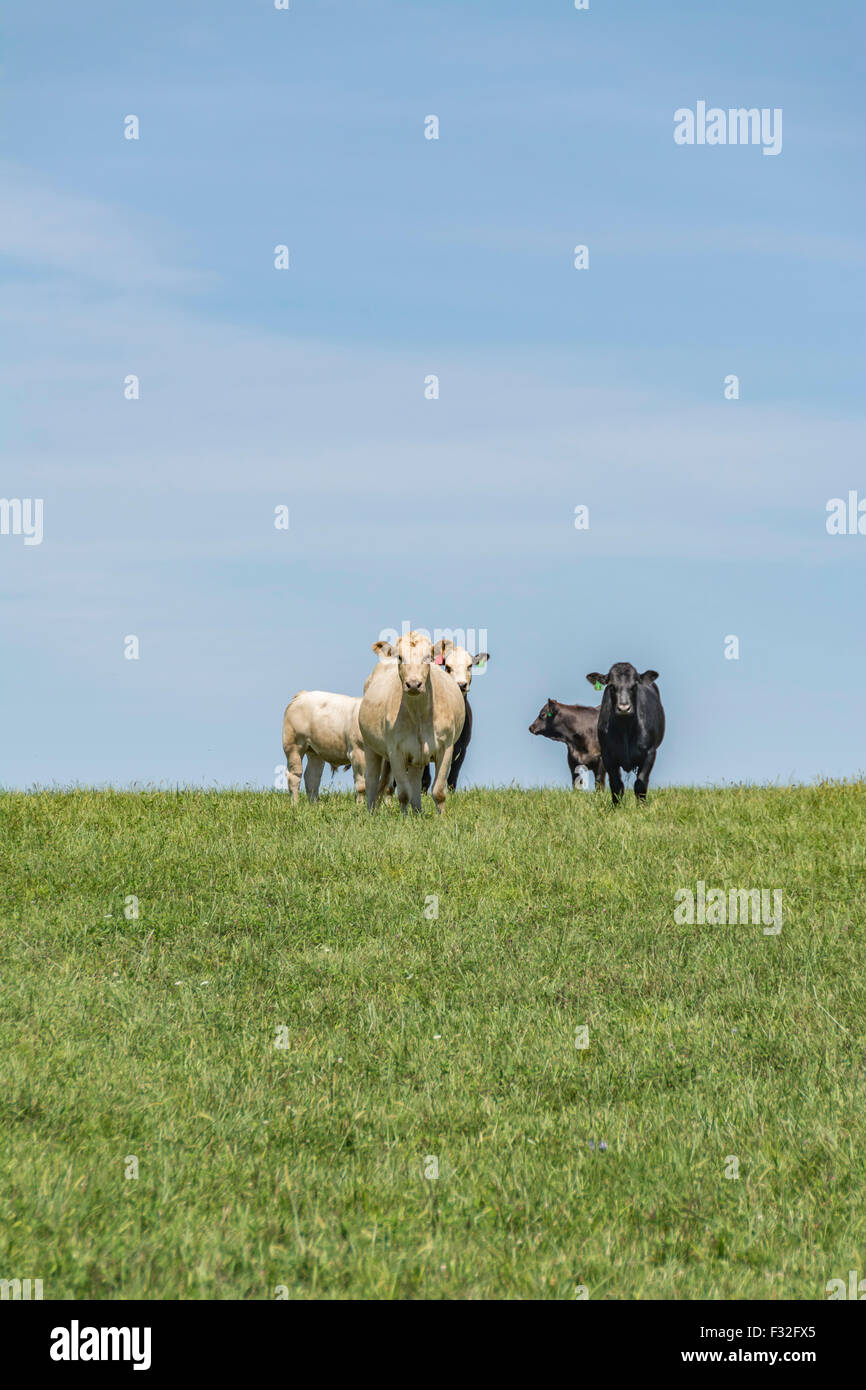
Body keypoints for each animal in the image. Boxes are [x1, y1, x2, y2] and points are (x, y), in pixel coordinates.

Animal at [359, 631, 465, 814]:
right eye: (400, 657)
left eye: (428, 657)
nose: (414, 684)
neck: (419, 714)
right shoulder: (395, 751)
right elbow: (403, 793)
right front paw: (404, 818)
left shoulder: (446, 748)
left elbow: (438, 791)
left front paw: (442, 817)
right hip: (370, 745)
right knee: (372, 779)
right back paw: (371, 812)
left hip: (417, 755)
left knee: (415, 780)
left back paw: (417, 812)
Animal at [585, 663, 665, 804]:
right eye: (611, 686)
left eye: (634, 686)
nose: (623, 708)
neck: (625, 727)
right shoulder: (607, 755)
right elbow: (616, 784)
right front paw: (617, 807)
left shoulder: (650, 752)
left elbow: (641, 783)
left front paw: (642, 806)